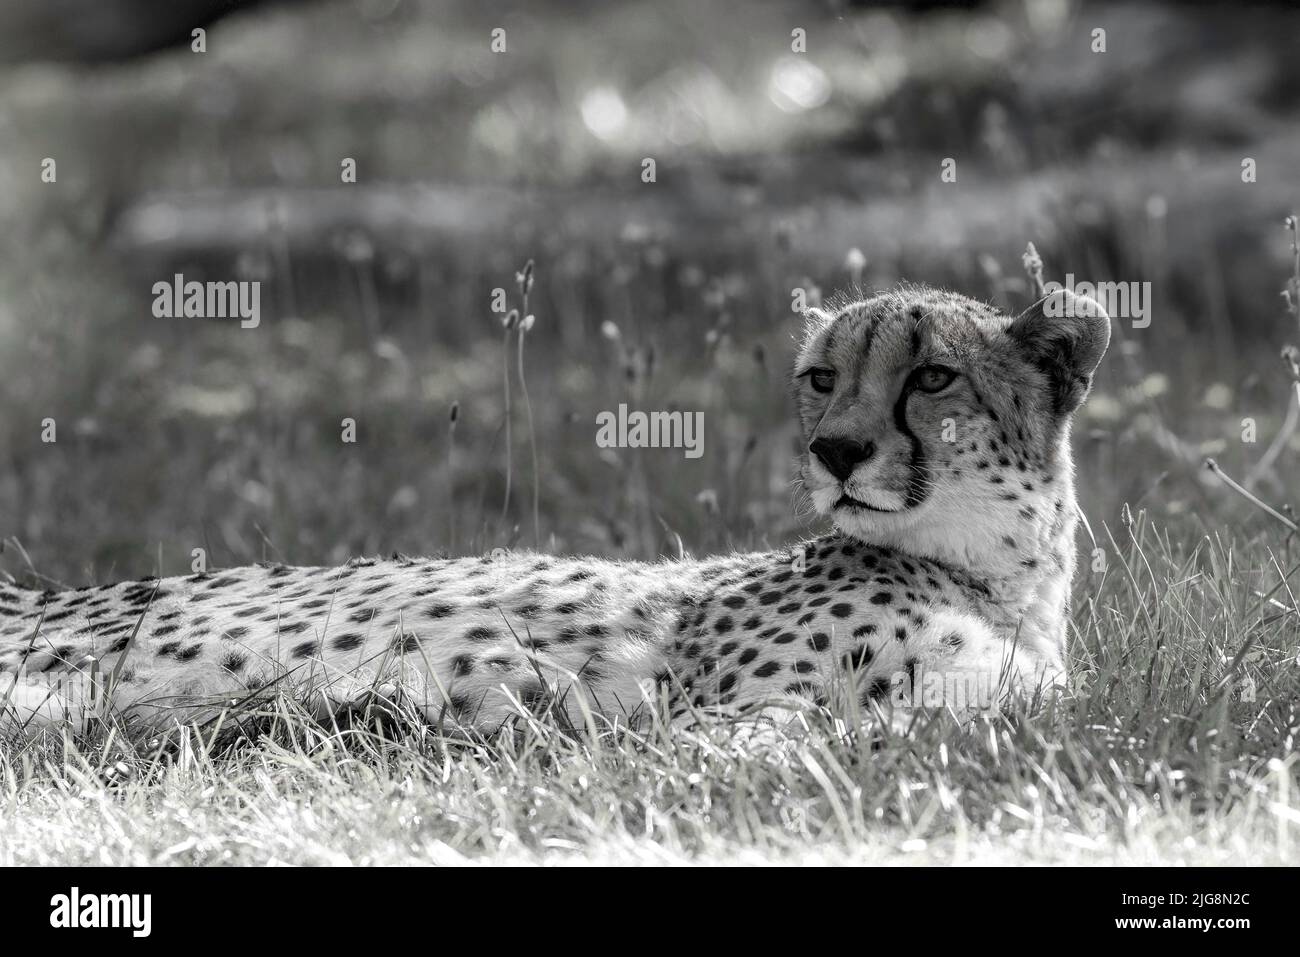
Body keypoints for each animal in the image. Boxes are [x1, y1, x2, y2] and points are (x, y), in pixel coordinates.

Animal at [0, 284, 1110, 734]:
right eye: (822, 378)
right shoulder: (719, 717)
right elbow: (823, 736)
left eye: (932, 377)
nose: (833, 450)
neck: (996, 575)